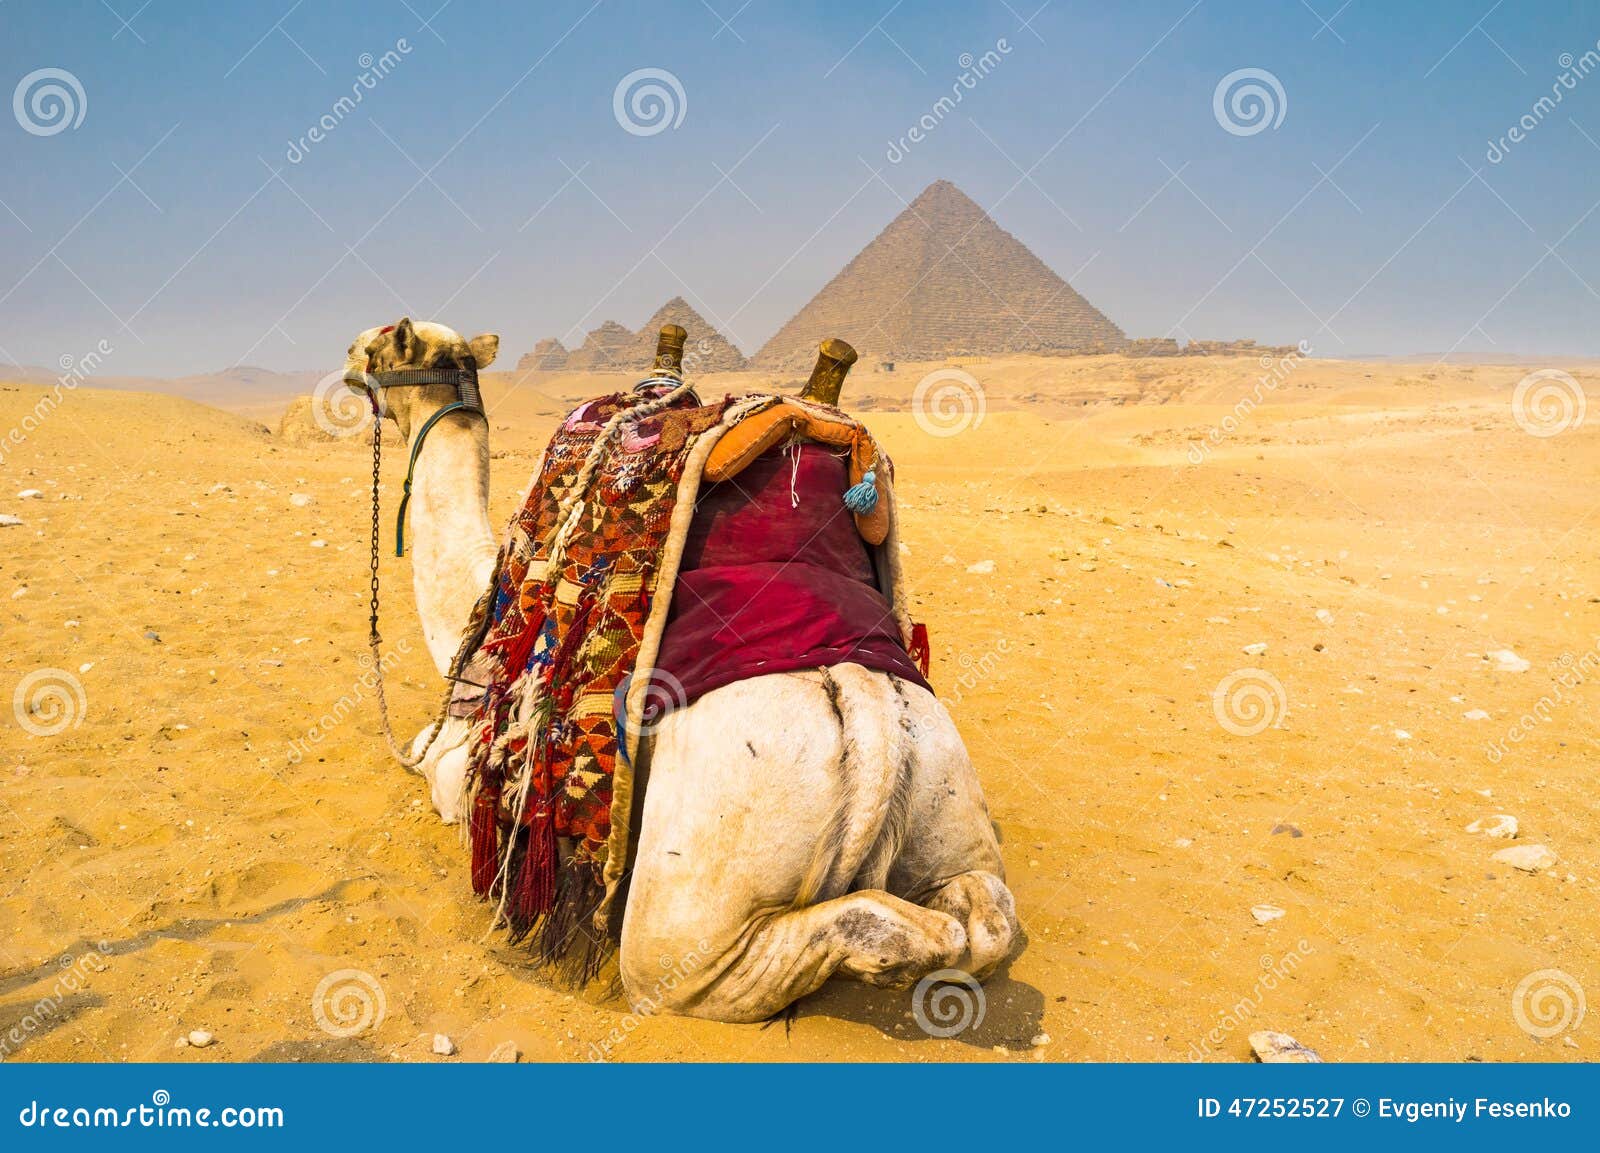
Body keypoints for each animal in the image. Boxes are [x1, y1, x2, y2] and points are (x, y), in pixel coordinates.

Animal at [343, 317, 1018, 1022]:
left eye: (387, 342)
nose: (349, 356)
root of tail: (871, 716)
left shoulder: (458, 775)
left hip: (691, 904)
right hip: (947, 800)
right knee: (984, 918)